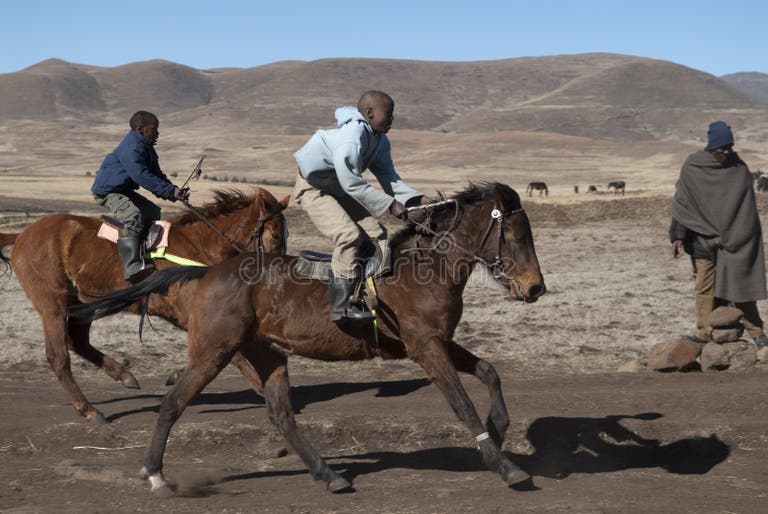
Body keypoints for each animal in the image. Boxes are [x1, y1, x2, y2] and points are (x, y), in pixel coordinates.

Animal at [0, 188, 289, 423]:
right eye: (276, 234)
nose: (280, 274)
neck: (199, 245)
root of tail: (22, 235)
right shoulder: (189, 312)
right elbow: (232, 351)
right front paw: (261, 386)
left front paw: (176, 374)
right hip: (53, 305)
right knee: (58, 356)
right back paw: (88, 408)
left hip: (83, 305)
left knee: (78, 342)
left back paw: (123, 375)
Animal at [70, 182, 546, 494]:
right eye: (516, 234)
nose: (535, 288)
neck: (424, 268)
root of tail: (206, 272)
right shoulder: (426, 348)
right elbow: (462, 404)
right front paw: (504, 465)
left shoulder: (438, 341)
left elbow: (489, 371)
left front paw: (498, 429)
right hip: (213, 352)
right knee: (173, 403)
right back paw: (155, 474)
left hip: (267, 354)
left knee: (282, 416)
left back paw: (329, 475)